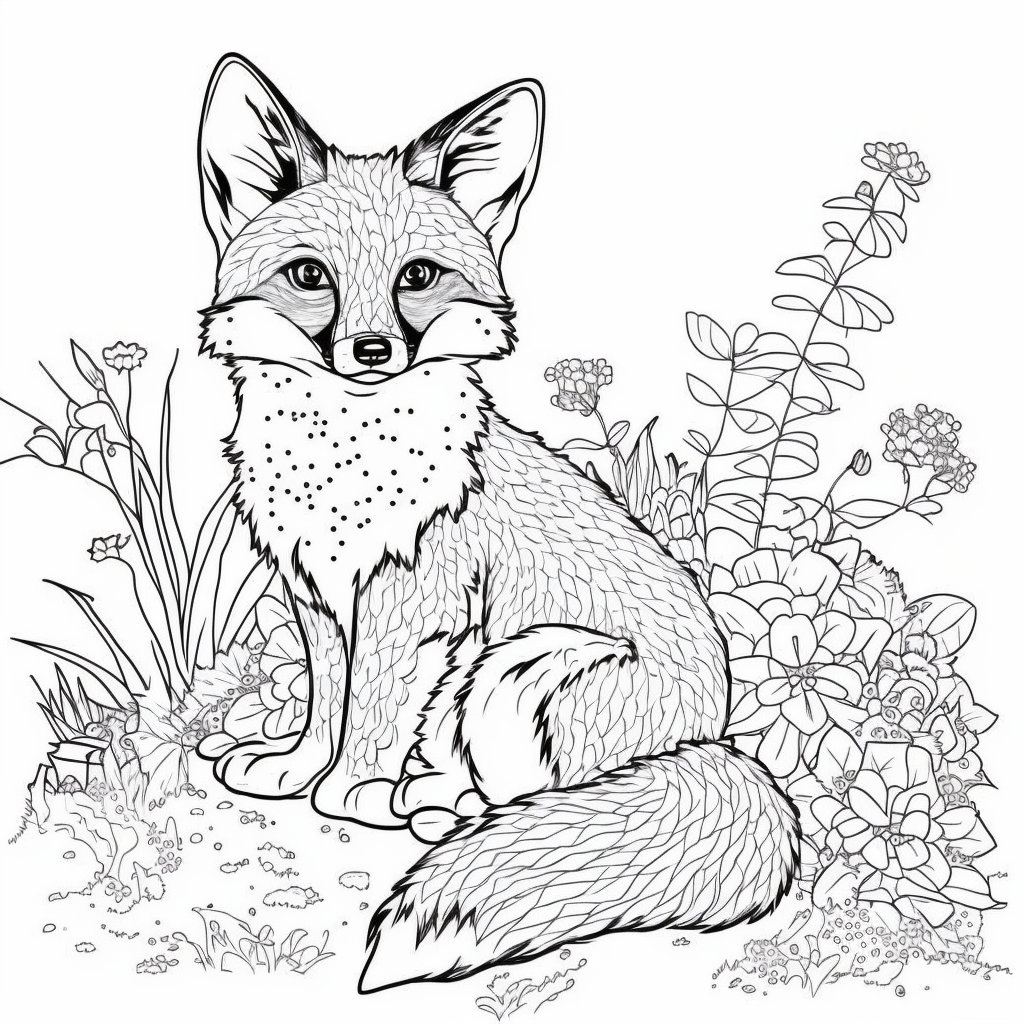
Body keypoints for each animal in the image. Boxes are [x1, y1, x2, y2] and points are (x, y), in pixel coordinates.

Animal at [195, 54, 799, 991]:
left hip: (517, 669)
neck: (341, 467)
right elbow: (328, 699)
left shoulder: (410, 603)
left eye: (416, 277)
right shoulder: (319, 595)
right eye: (309, 277)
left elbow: (368, 714)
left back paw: (431, 807)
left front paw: (346, 790)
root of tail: (712, 741)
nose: (373, 352)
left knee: (528, 800)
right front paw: (294, 767)